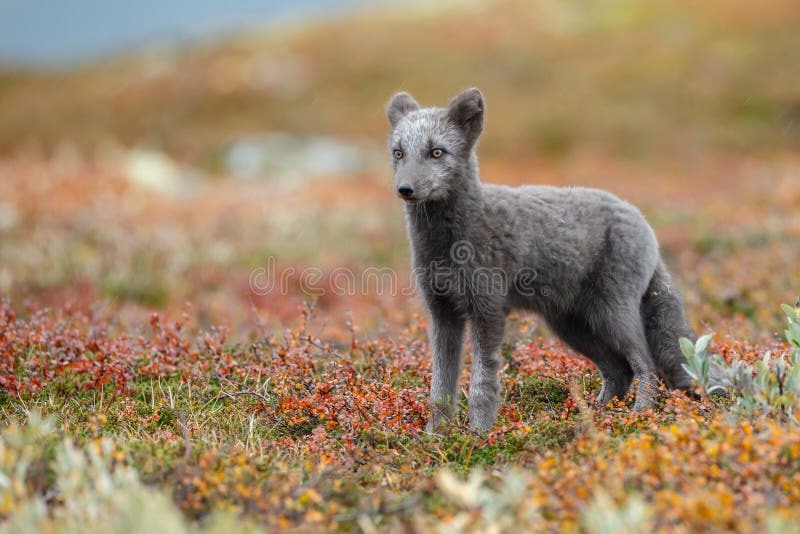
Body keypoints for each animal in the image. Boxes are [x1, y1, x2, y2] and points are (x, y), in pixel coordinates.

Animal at [386, 88, 726, 432]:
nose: (405, 189)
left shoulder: (488, 311)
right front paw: (436, 435)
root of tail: (642, 220)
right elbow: (440, 386)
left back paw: (637, 415)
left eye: (436, 153)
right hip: (572, 326)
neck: (448, 244)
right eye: (399, 153)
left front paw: (479, 433)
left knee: (646, 365)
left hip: (612, 315)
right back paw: (598, 415)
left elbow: (481, 383)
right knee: (619, 371)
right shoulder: (442, 313)